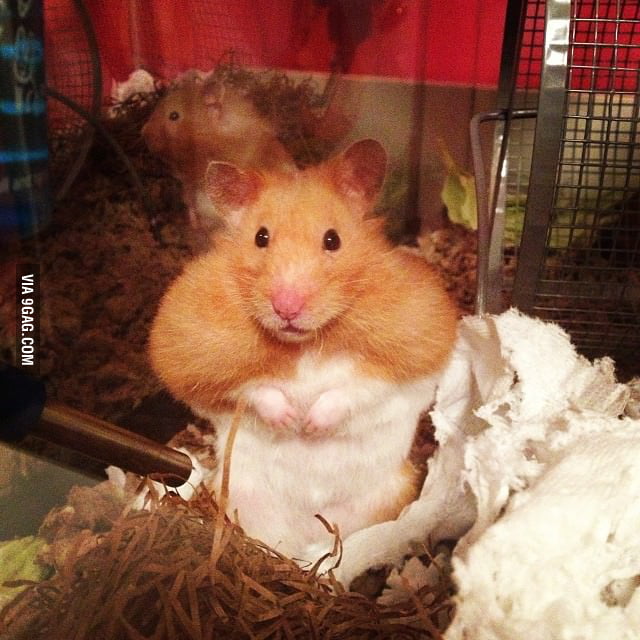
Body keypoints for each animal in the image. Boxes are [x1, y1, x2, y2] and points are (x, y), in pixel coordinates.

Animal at [149, 139, 458, 567]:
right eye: (261, 237)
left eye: (333, 240)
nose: (287, 308)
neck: (306, 341)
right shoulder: (189, 356)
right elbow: (250, 389)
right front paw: (290, 421)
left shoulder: (411, 354)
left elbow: (358, 388)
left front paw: (310, 425)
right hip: (239, 496)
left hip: (390, 495)